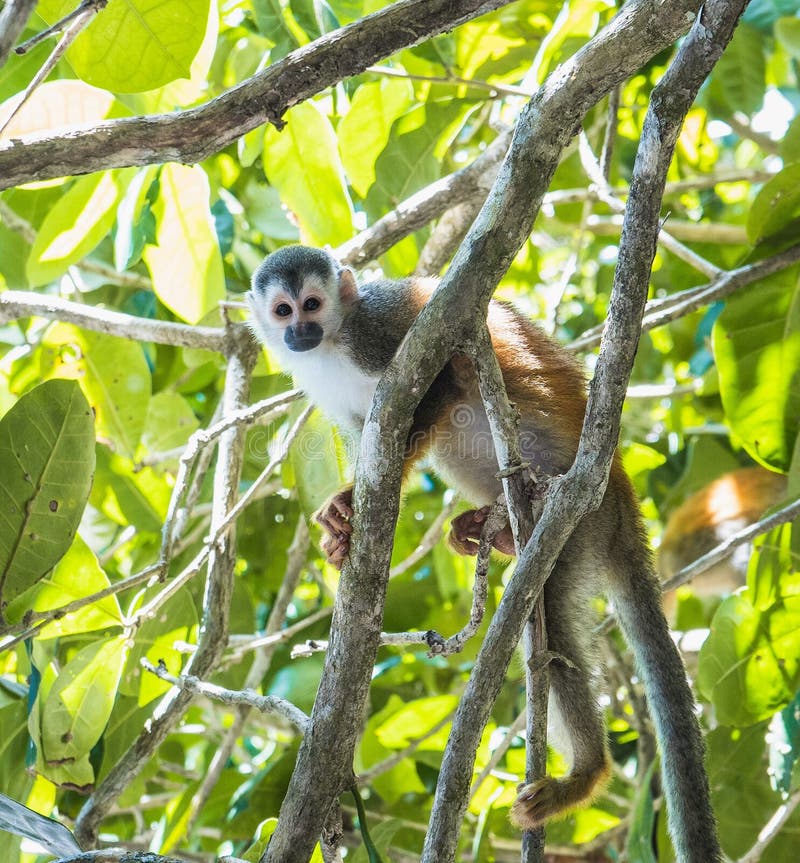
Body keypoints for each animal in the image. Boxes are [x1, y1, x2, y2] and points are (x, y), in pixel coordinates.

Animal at [247, 245, 721, 863]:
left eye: (311, 303)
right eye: (282, 310)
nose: (298, 331)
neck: (332, 345)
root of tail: (616, 493)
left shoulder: (379, 327)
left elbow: (445, 383)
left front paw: (358, 499)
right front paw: (340, 529)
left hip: (578, 522)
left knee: (548, 623)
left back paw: (586, 774)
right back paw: (488, 530)